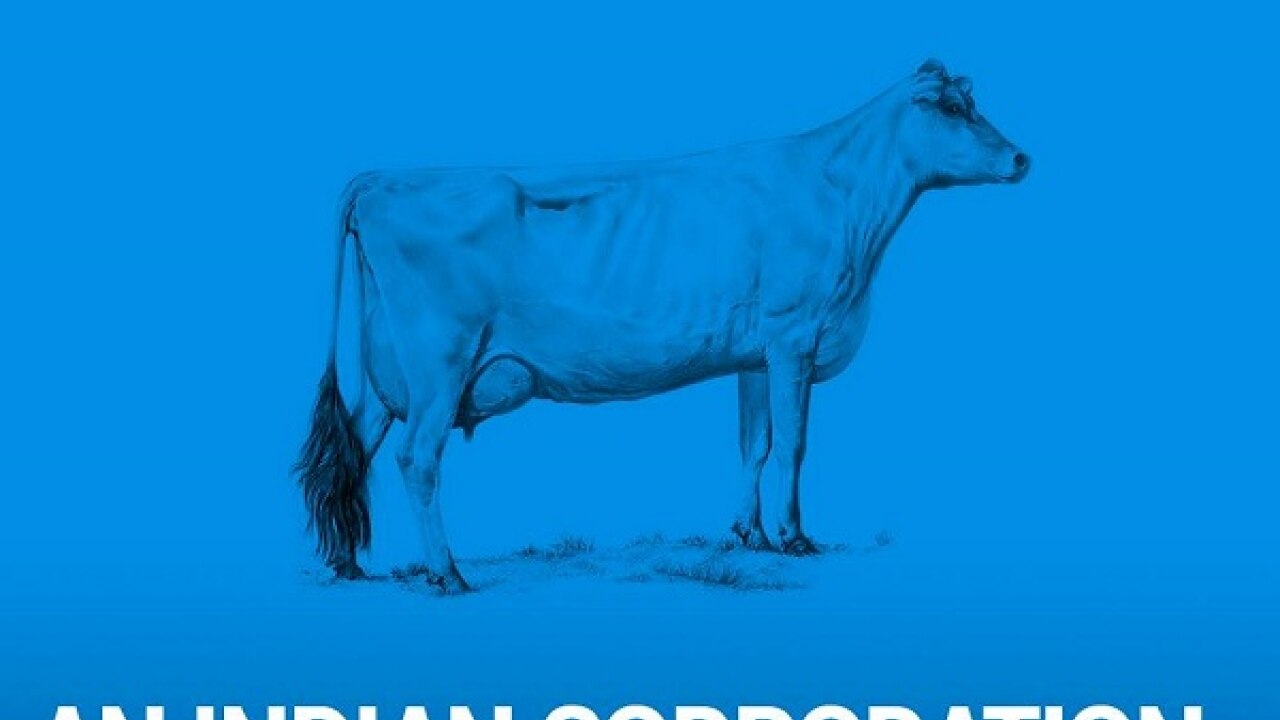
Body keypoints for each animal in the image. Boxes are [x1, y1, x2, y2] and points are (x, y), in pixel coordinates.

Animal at [296, 59, 1030, 592]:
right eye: (954, 109)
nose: (1022, 159)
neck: (844, 198)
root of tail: (380, 180)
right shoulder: (795, 335)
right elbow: (793, 444)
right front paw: (795, 538)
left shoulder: (754, 352)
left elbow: (754, 444)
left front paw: (749, 534)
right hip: (438, 361)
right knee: (416, 458)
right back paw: (448, 574)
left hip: (386, 371)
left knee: (355, 447)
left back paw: (349, 566)